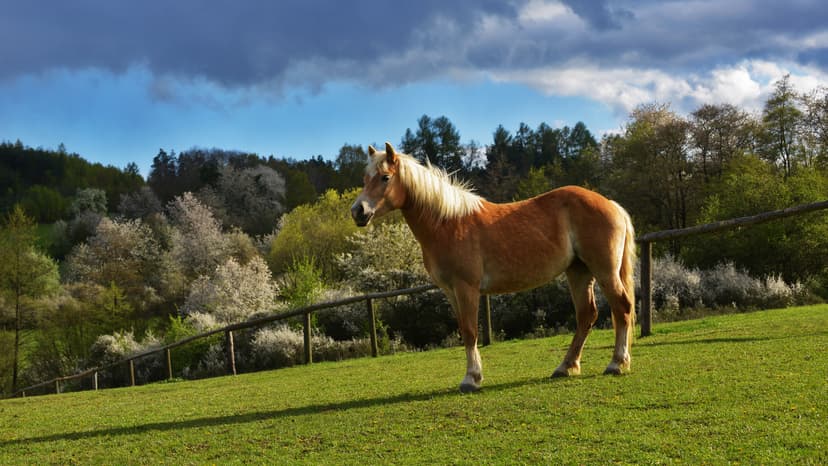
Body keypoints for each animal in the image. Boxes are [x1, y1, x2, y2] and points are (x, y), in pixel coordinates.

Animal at [350, 142, 636, 393]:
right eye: (365, 178)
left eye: (385, 177)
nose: (358, 211)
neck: (447, 223)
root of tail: (611, 204)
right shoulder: (451, 291)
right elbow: (464, 330)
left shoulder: (467, 288)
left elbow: (470, 331)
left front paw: (471, 379)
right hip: (578, 272)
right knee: (587, 315)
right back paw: (566, 367)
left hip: (604, 271)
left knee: (621, 307)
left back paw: (616, 363)